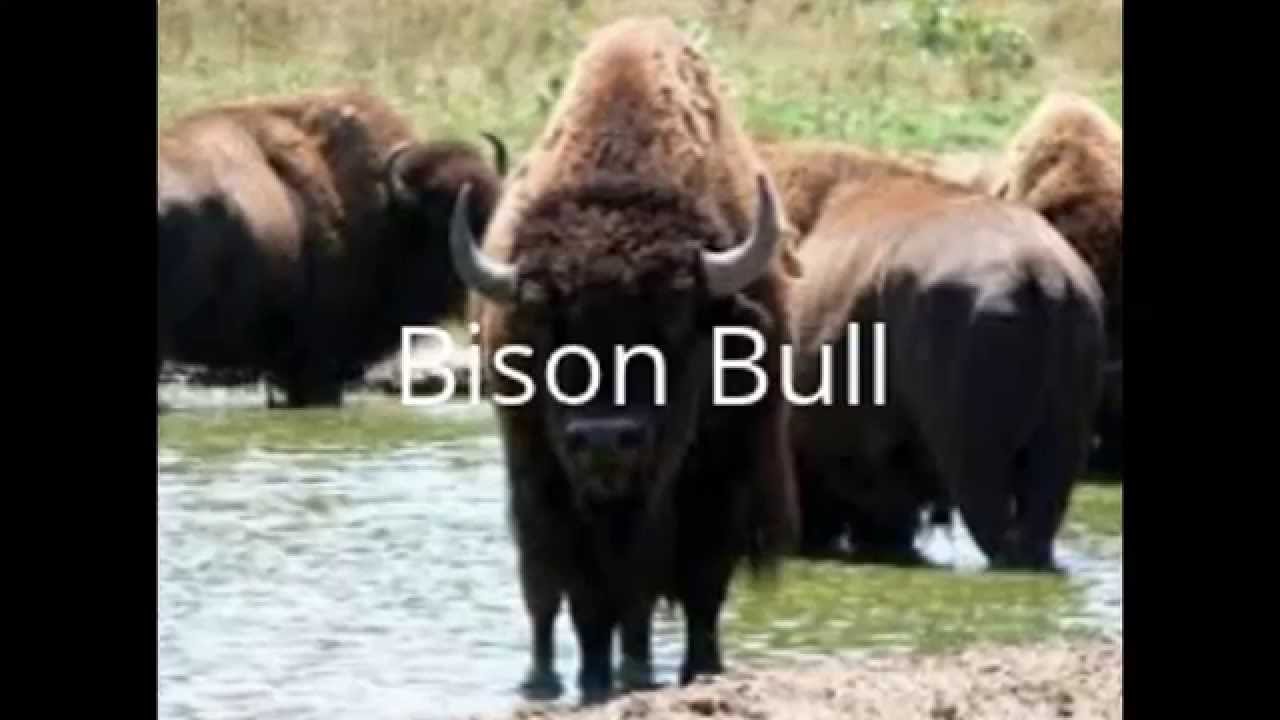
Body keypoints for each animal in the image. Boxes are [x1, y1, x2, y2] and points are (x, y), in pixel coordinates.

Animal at [448, 17, 801, 703]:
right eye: (546, 326)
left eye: (673, 321)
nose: (606, 439)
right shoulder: (556, 479)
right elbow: (585, 593)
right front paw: (597, 678)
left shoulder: (712, 475)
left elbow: (692, 580)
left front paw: (691, 670)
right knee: (542, 591)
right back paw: (543, 680)